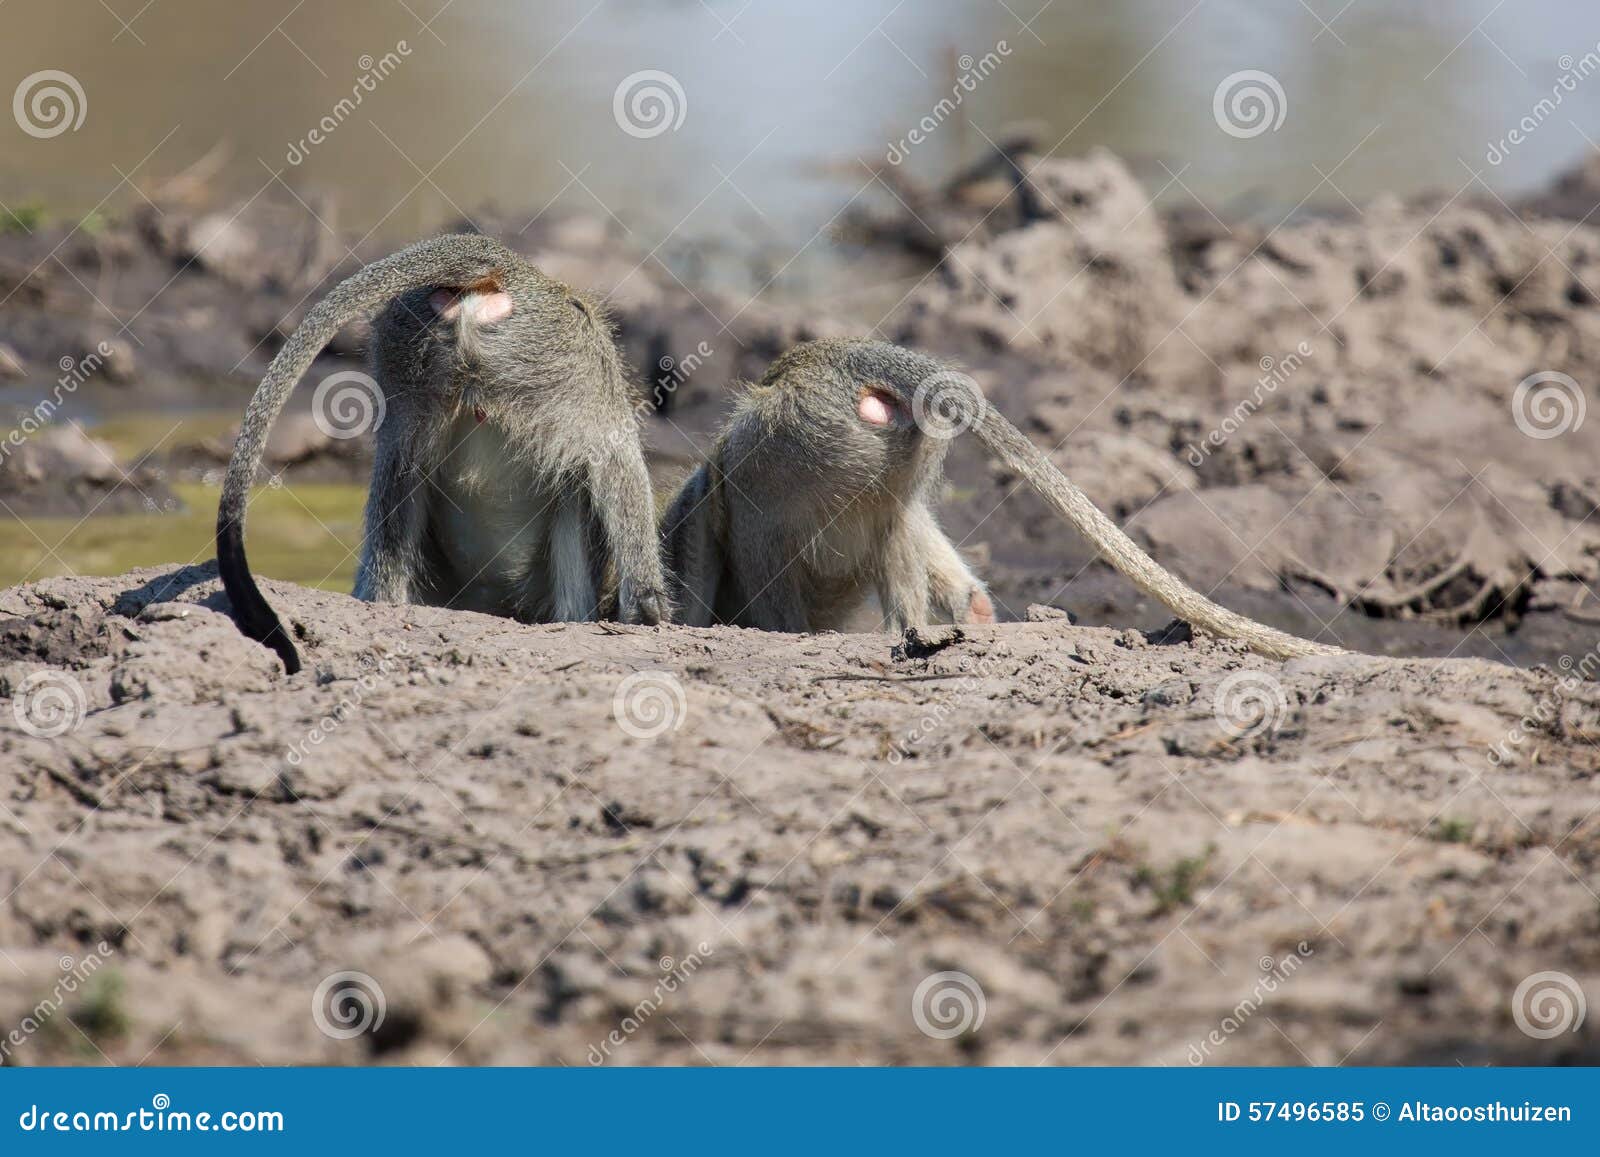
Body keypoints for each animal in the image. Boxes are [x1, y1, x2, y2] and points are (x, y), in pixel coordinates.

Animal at [218, 233, 667, 675]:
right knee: (610, 456)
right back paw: (642, 605)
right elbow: (609, 460)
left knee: (401, 470)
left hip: (413, 351)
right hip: (563, 353)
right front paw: (645, 609)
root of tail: (509, 271)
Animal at [660, 339, 1341, 661]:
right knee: (893, 515)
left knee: (743, 498)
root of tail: (842, 358)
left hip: (789, 439)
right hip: (860, 442)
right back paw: (949, 620)